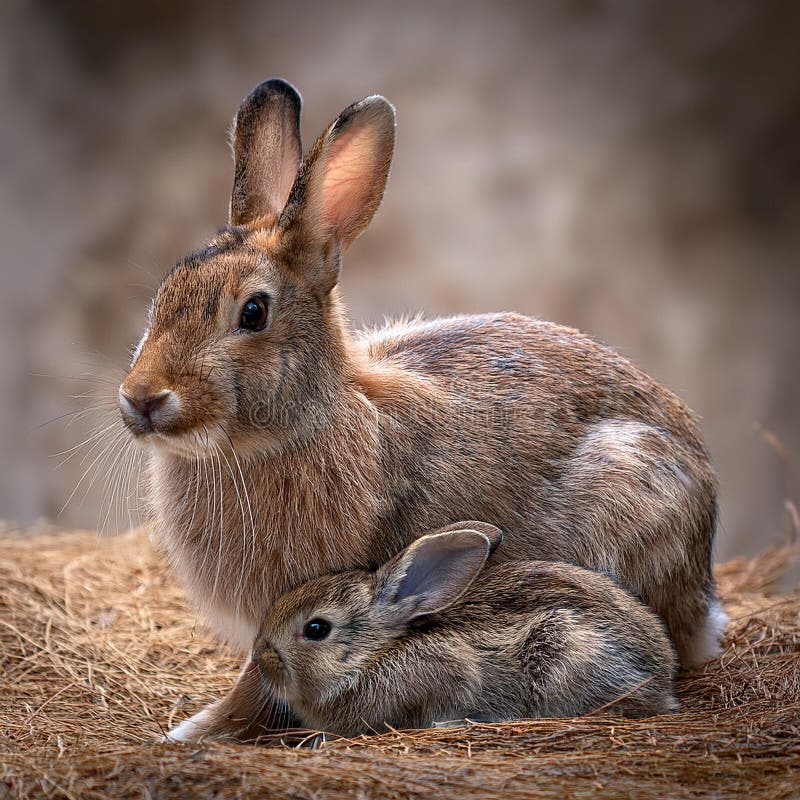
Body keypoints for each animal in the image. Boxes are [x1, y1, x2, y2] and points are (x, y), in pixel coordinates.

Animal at [245, 523, 679, 738]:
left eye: (316, 628)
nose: (262, 658)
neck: (374, 656)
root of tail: (663, 677)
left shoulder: (448, 668)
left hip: (564, 651)